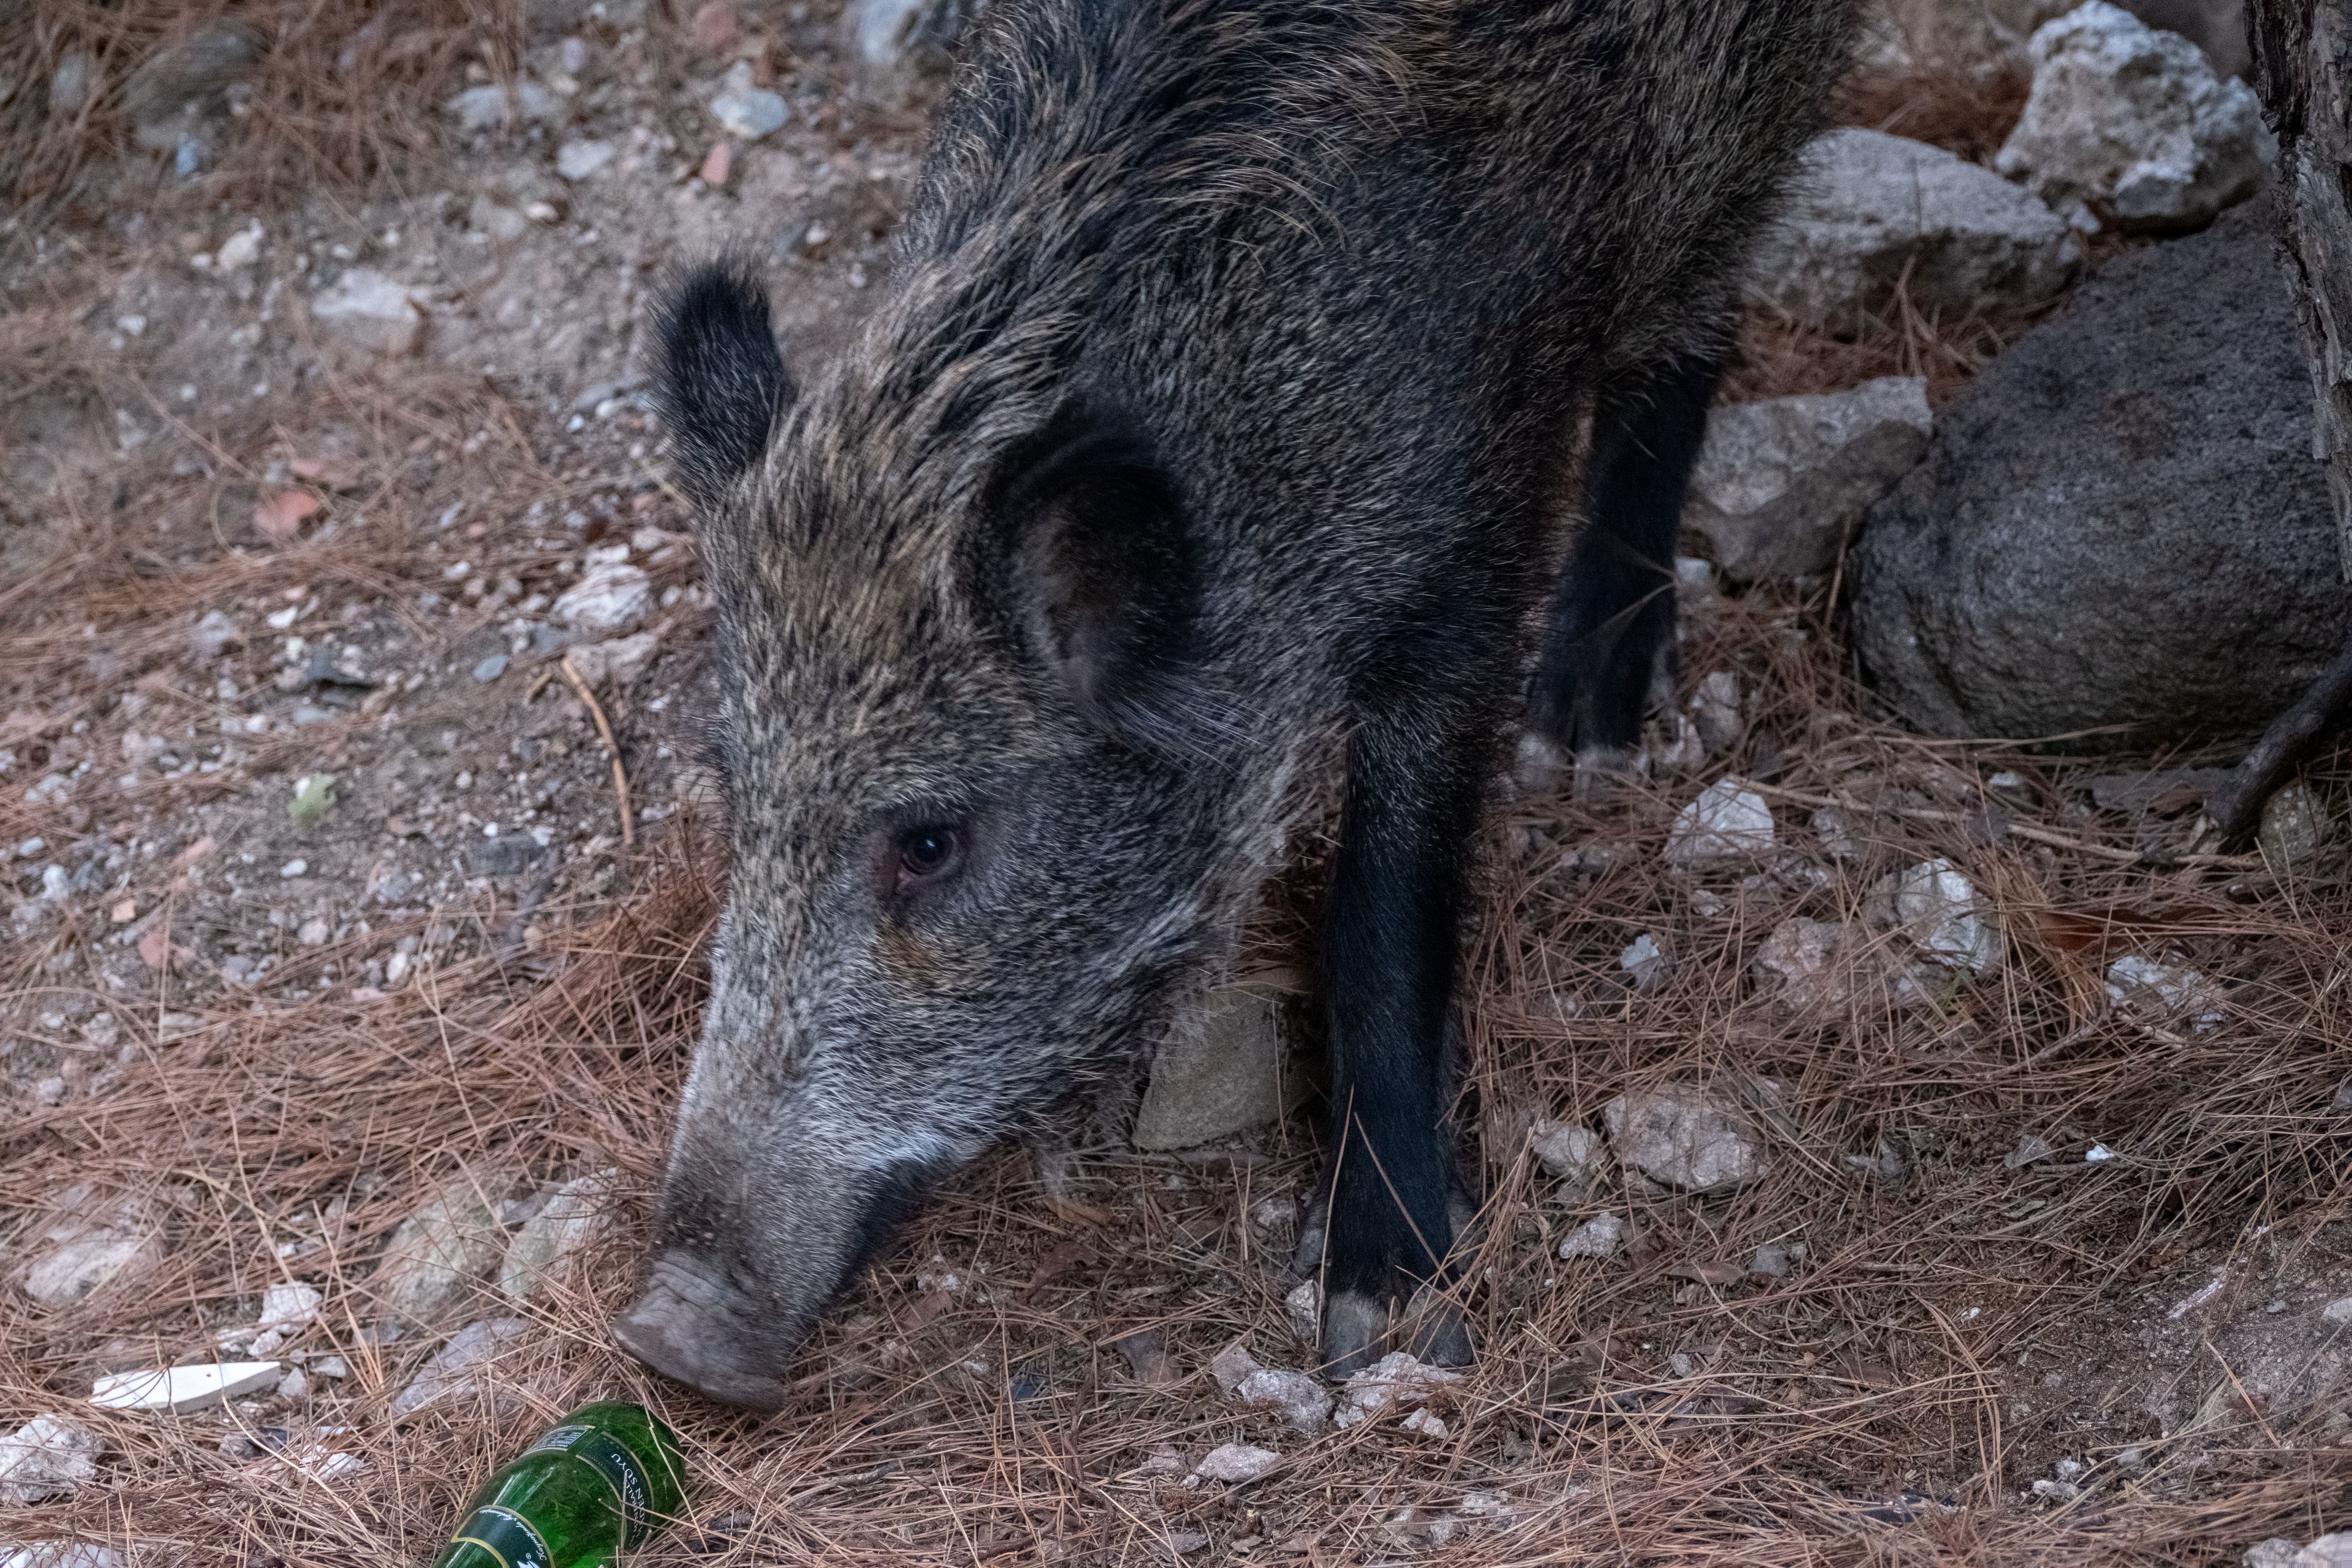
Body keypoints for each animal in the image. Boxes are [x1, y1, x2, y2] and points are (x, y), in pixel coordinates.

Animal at [617, 0, 1856, 1408]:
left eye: (930, 842)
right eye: (736, 797)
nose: (665, 1334)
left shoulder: (1473, 540)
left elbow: (1381, 914)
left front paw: (1385, 1315)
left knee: (1701, 316)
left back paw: (1588, 732)